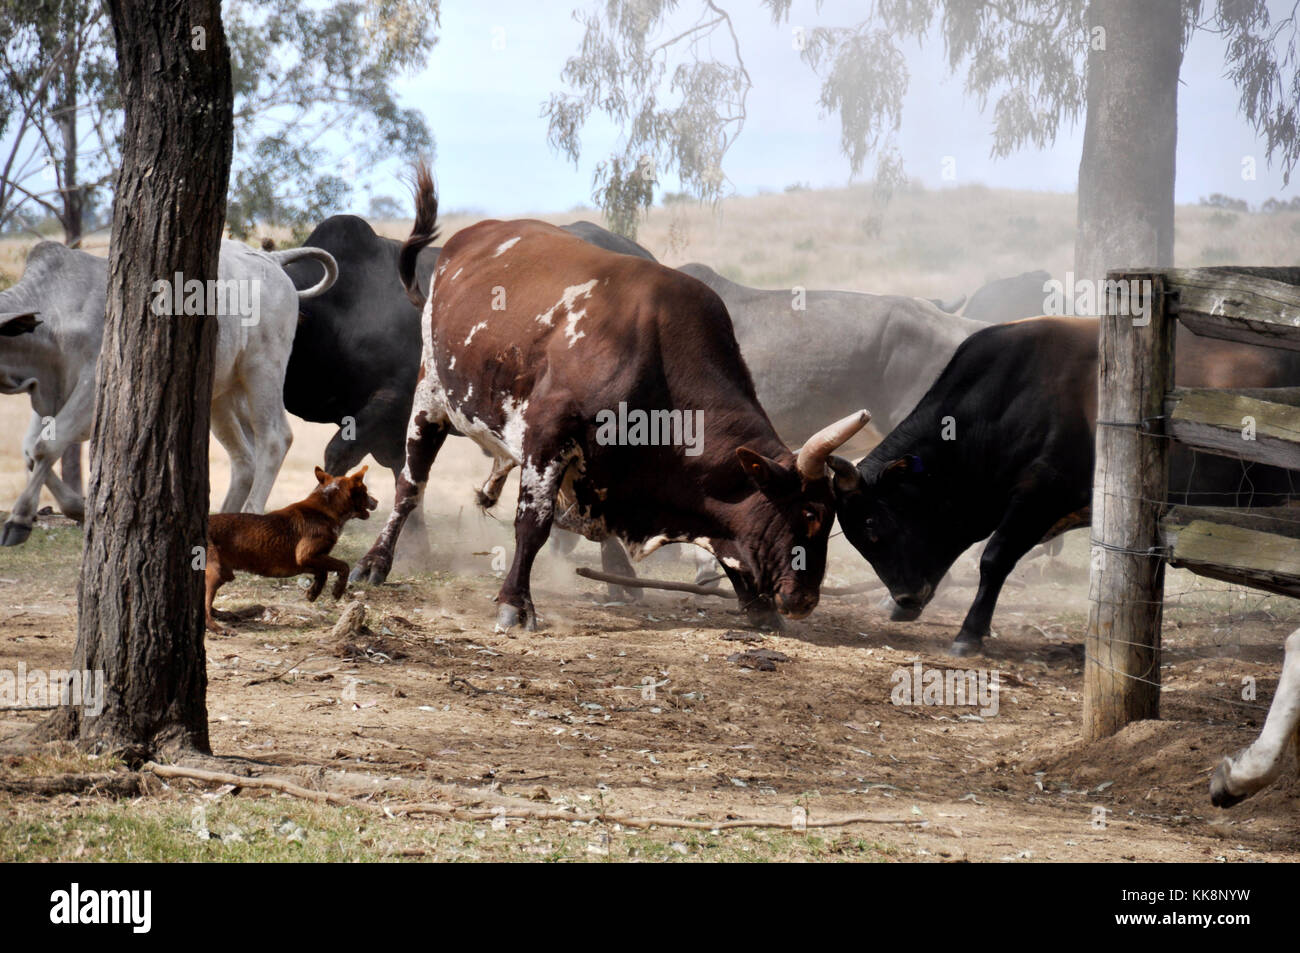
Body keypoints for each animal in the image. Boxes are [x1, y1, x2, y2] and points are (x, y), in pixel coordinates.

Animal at [0, 239, 337, 545]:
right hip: (221, 397)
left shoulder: (92, 388)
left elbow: (45, 447)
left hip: (263, 370)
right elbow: (30, 450)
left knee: (275, 438)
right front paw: (75, 508)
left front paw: (19, 518)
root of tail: (271, 258)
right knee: (244, 458)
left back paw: (251, 514)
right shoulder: (50, 393)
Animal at [349, 163, 870, 631]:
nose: (805, 600)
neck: (657, 356)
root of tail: (468, 239)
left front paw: (755, 604)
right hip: (430, 398)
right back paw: (375, 562)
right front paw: (515, 603)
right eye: (808, 513)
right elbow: (532, 524)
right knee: (410, 487)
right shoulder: (548, 437)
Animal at [831, 316, 1300, 656]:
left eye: (872, 523)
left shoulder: (1040, 496)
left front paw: (969, 634)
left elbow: (993, 558)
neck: (1007, 402)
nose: (907, 598)